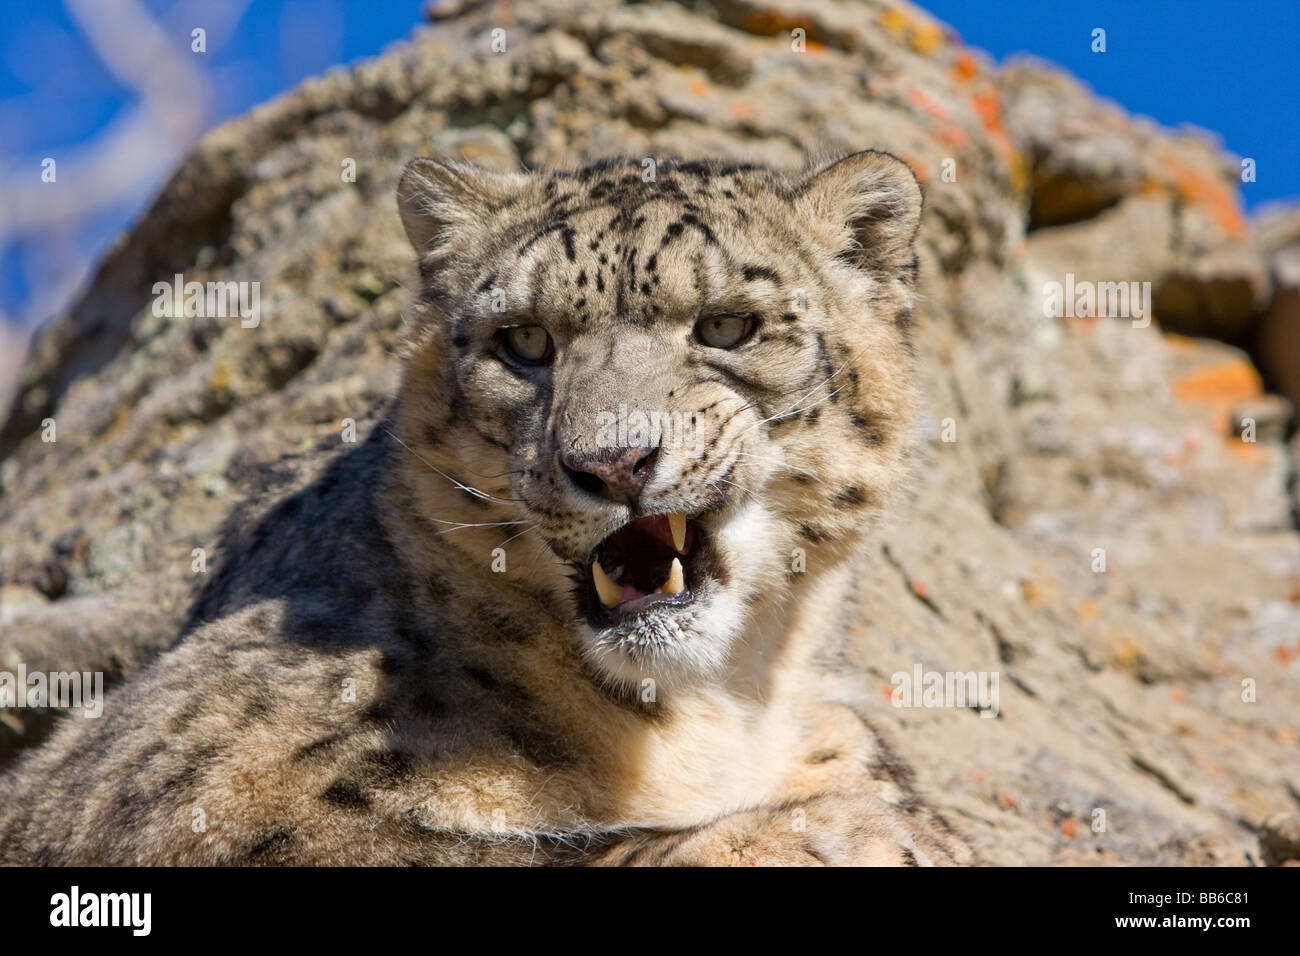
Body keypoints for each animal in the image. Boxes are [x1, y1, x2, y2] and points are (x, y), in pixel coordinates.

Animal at [0, 151, 973, 865]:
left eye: (728, 326)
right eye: (525, 342)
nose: (613, 462)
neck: (716, 707)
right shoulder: (198, 793)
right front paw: (830, 834)